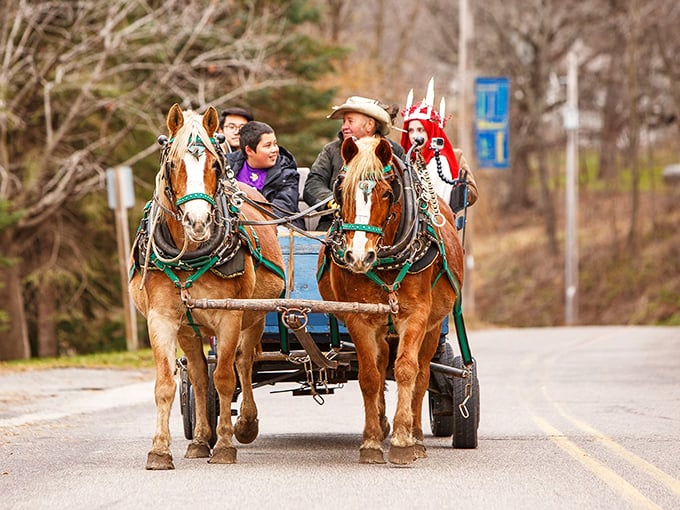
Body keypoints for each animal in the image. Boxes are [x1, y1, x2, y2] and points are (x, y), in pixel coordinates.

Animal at [129, 104, 285, 469]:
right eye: (173, 164)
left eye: (215, 164)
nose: (197, 222)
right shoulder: (161, 318)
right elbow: (166, 384)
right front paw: (160, 450)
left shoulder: (229, 317)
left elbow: (225, 378)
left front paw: (226, 444)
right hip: (190, 327)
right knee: (199, 375)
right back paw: (200, 439)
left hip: (254, 317)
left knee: (243, 364)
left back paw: (245, 424)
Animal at [317, 135, 465, 464]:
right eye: (341, 191)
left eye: (386, 192)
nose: (359, 256)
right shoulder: (359, 318)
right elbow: (370, 376)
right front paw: (372, 441)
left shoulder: (416, 315)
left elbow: (407, 370)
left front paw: (402, 440)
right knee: (383, 362)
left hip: (433, 328)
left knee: (423, 374)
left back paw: (417, 436)